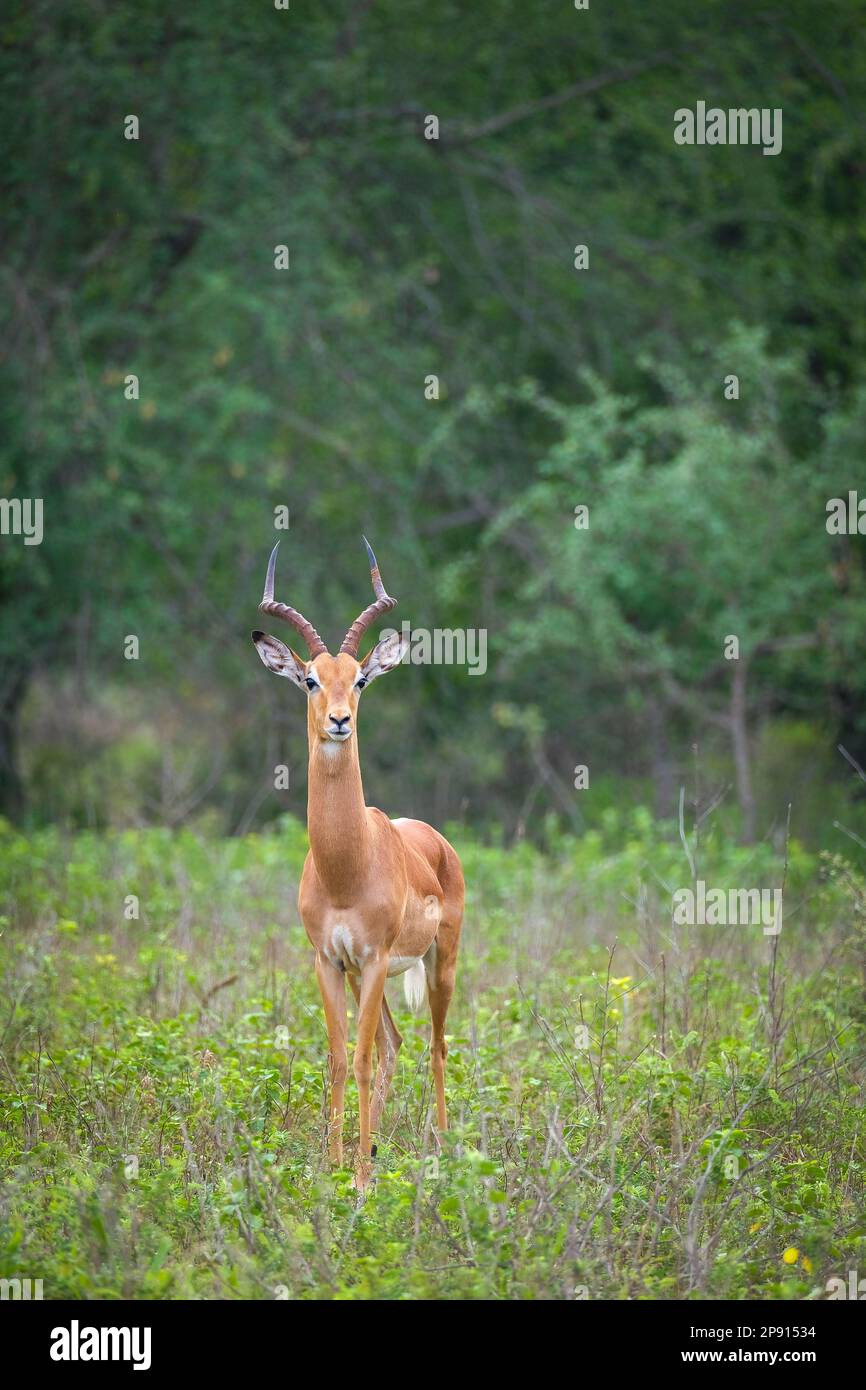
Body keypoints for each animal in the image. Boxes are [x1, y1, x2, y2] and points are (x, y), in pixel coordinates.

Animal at [251, 538, 464, 1189]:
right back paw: (376, 1144)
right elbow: (340, 1058)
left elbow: (364, 1058)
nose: (339, 720)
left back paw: (441, 1146)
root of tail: (432, 839)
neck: (346, 867)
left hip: (441, 961)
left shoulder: (371, 959)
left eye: (362, 679)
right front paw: (335, 1165)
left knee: (436, 1045)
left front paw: (364, 1182)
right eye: (310, 680)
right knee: (396, 1043)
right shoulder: (328, 959)